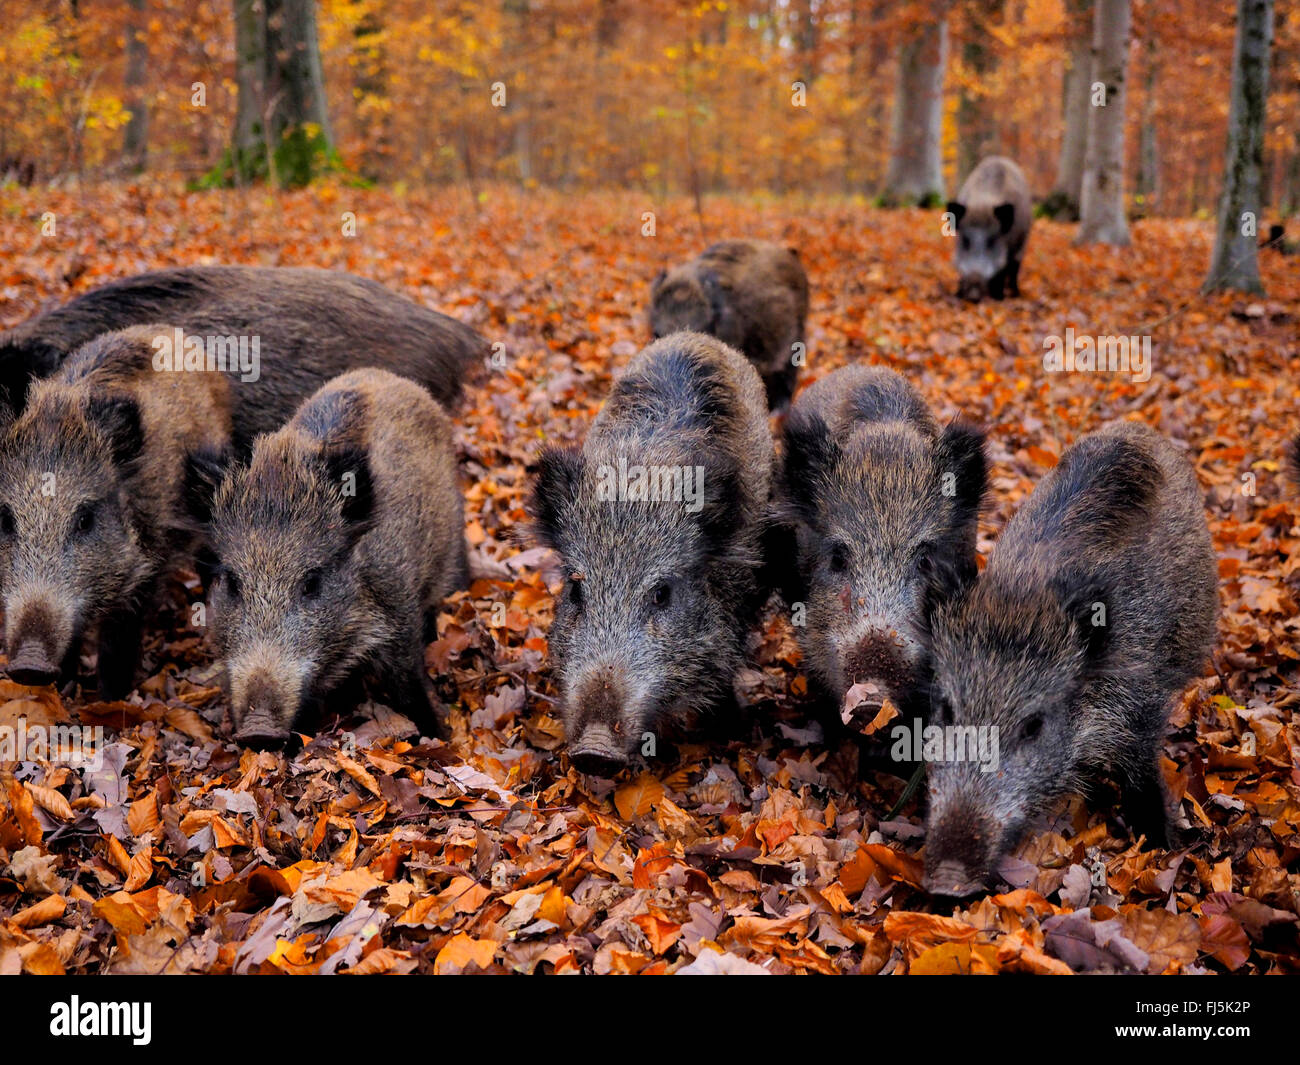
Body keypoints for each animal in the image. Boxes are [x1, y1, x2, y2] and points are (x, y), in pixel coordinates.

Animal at [0, 326, 231, 696]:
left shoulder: (148, 566)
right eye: (6, 519)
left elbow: (119, 639)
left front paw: (112, 698)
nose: (29, 666)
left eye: (85, 520)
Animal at [185, 368, 468, 745]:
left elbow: (408, 686)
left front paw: (438, 736)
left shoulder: (399, 613)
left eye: (312, 583)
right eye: (231, 582)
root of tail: (387, 376)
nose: (259, 729)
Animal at [922, 420, 1218, 896]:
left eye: (1034, 725)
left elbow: (1141, 775)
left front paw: (1161, 844)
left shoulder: (1143, 704)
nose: (947, 881)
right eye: (947, 710)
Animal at [947, 156, 1032, 302]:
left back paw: (1014, 294)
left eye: (992, 241)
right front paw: (958, 294)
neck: (982, 203)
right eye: (965, 241)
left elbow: (1002, 270)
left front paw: (998, 297)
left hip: (1022, 244)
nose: (973, 295)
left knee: (1014, 268)